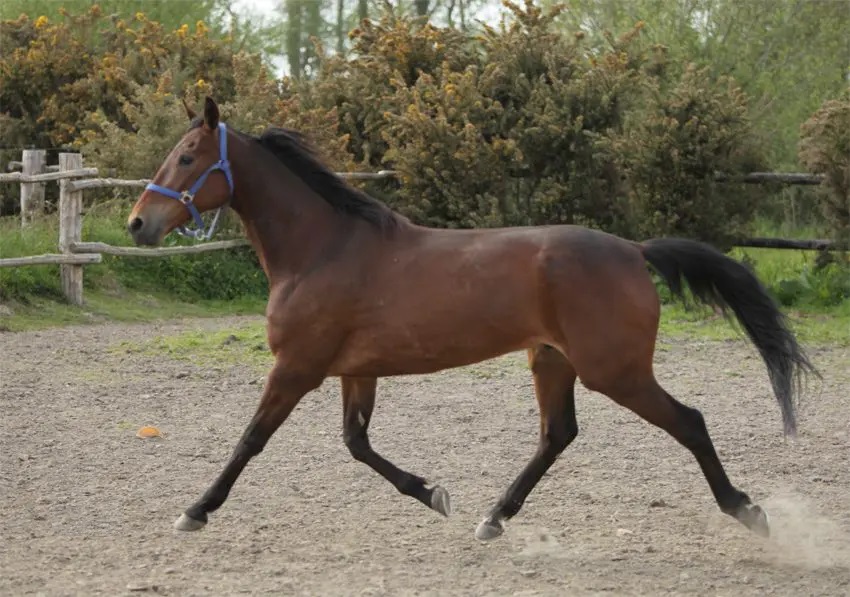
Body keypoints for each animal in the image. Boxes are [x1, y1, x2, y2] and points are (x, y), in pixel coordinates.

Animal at [127, 96, 815, 541]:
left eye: (187, 158)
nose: (138, 224)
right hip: (552, 361)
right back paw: (494, 517)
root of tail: (633, 249)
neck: (323, 249)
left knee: (688, 422)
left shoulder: (296, 368)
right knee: (557, 435)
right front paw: (433, 494)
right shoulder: (355, 370)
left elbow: (251, 440)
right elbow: (357, 443)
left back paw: (748, 511)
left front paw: (195, 510)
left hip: (614, 371)